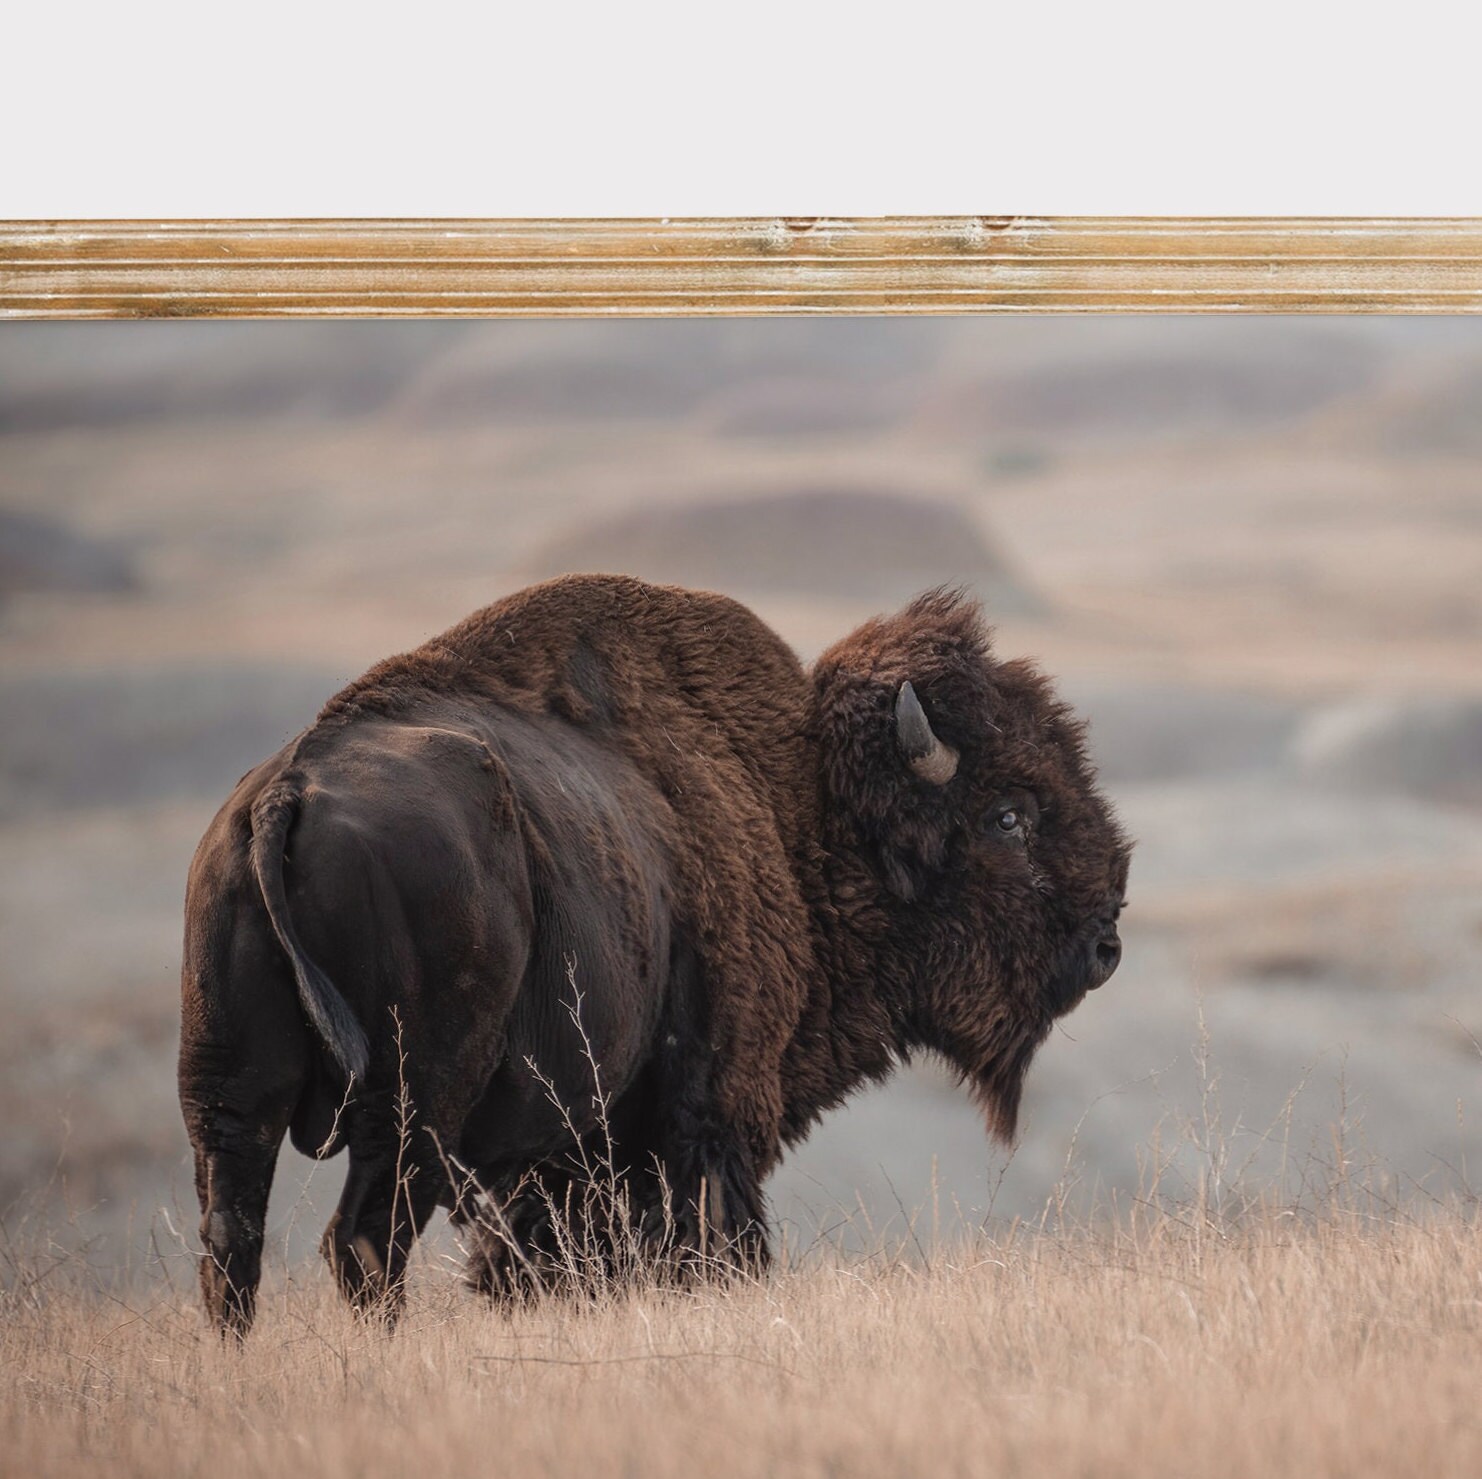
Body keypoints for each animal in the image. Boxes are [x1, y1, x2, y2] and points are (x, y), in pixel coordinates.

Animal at [179, 574, 1130, 1335]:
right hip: (414, 1102)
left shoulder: (558, 1155)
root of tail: (284, 795)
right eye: (1009, 816)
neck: (800, 808)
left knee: (233, 1235)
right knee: (362, 1240)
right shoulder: (704, 1113)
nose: (1106, 942)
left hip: (229, 1093)